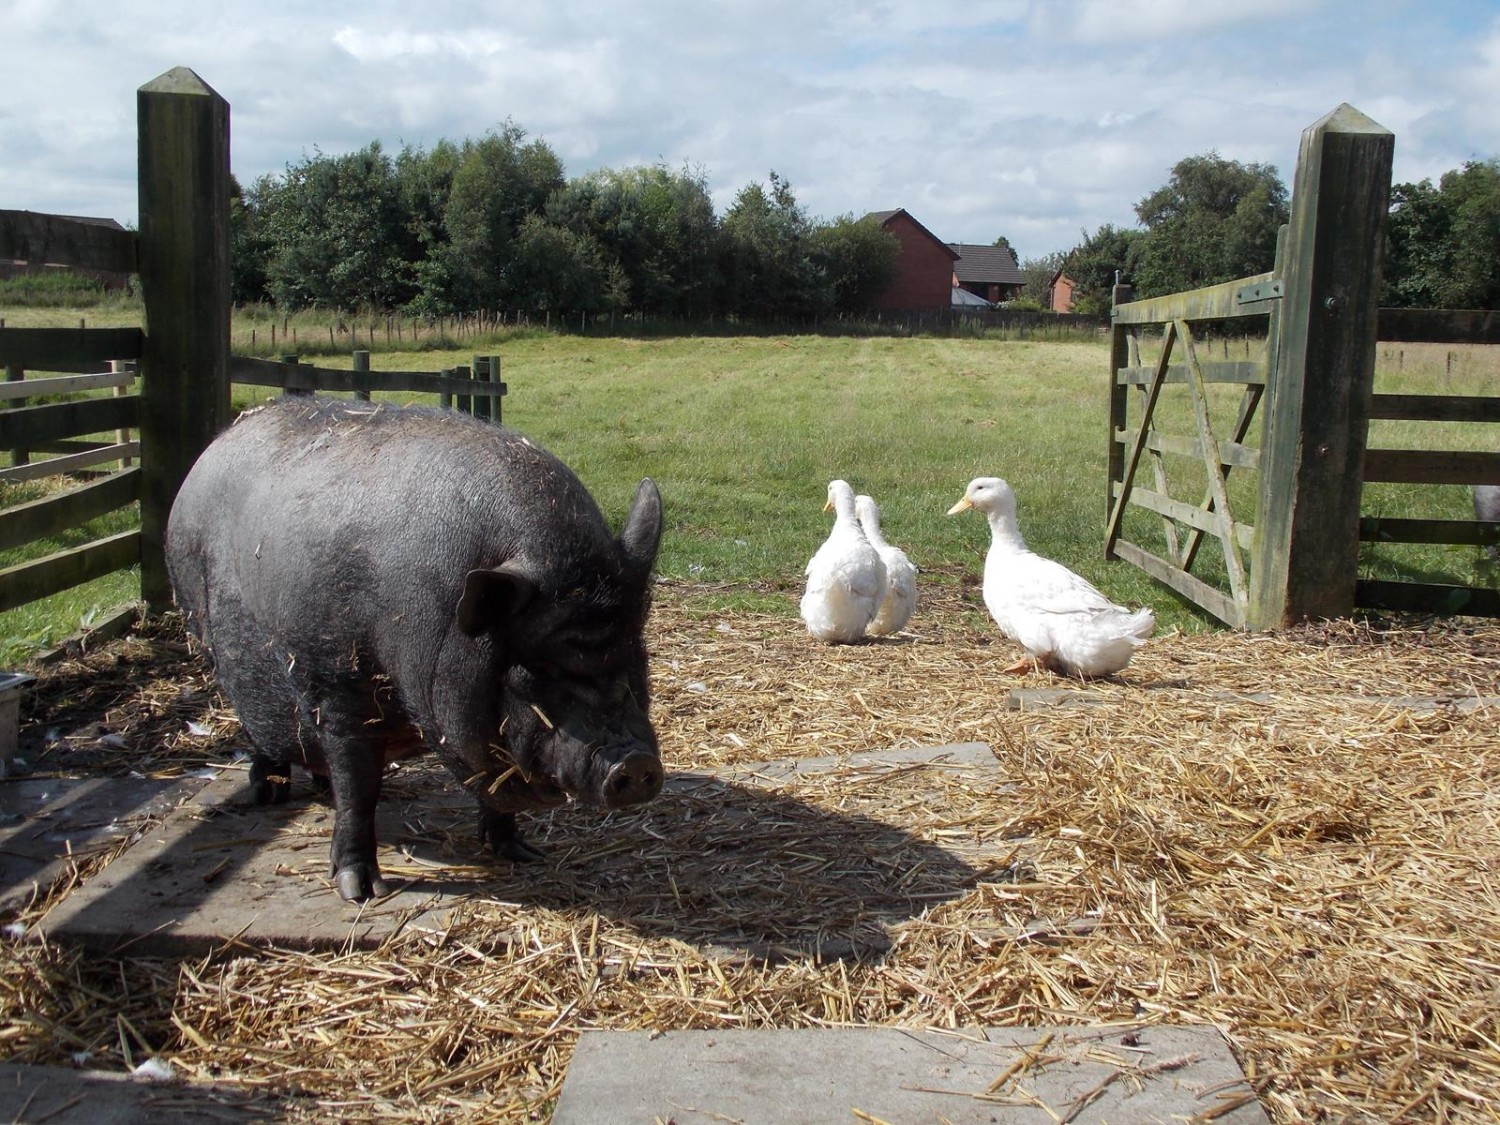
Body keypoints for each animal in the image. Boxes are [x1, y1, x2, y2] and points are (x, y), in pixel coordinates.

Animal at [166, 398, 664, 901]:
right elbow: (360, 789)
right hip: (204, 629)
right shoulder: (337, 685)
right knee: (262, 733)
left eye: (633, 649)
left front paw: (522, 853)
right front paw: (360, 891)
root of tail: (209, 451)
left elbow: (489, 788)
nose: (635, 760)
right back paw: (268, 794)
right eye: (537, 666)